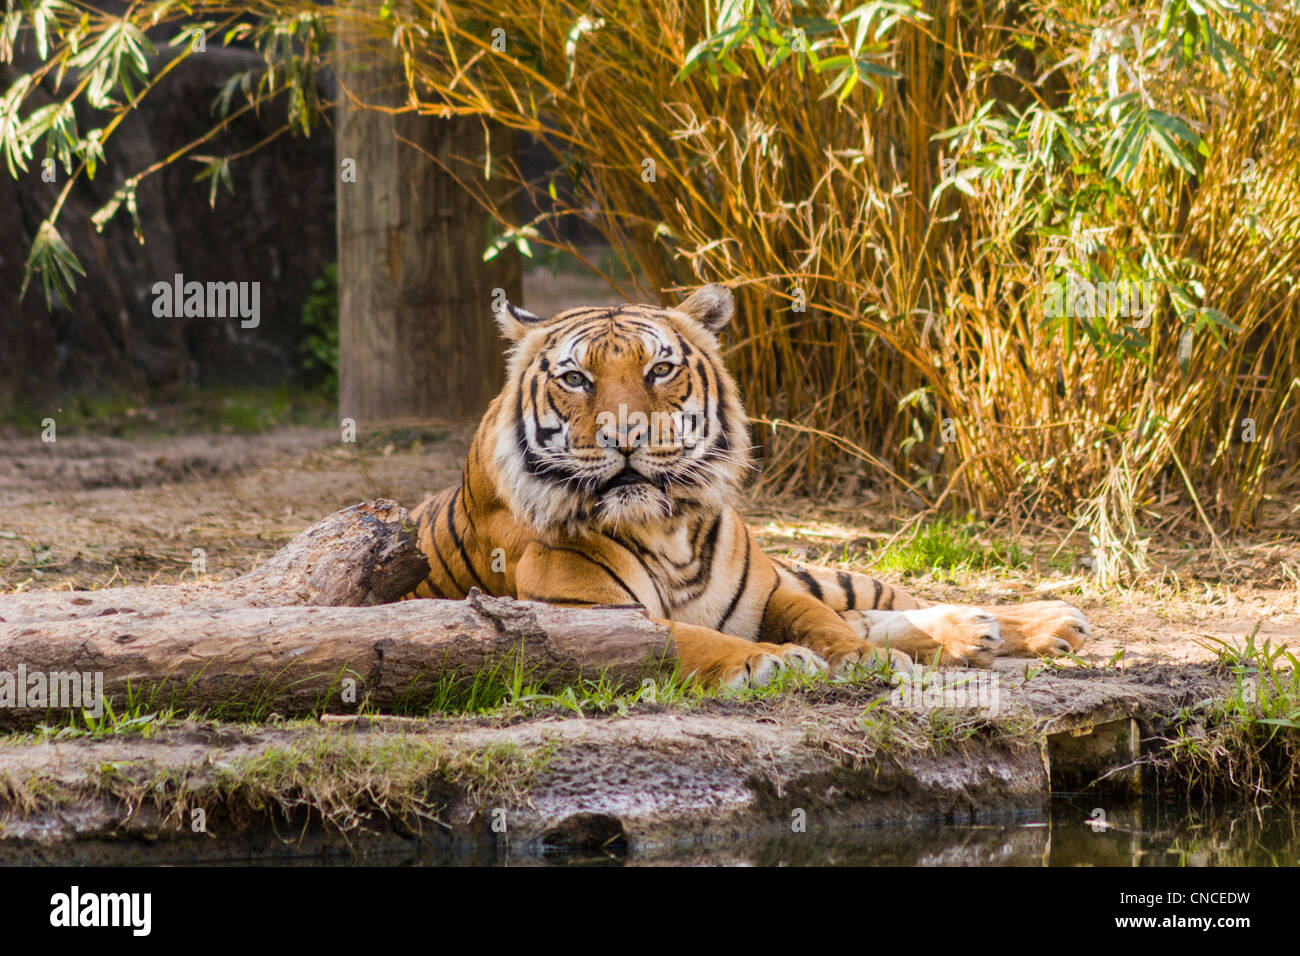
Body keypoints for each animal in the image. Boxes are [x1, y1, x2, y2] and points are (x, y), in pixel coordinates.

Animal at [407, 284, 1090, 688]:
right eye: (575, 379)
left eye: (660, 369)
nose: (624, 433)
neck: (667, 528)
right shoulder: (581, 617)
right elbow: (685, 637)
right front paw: (770, 660)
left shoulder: (767, 592)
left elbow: (823, 620)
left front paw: (859, 658)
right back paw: (980, 632)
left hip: (814, 569)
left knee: (876, 599)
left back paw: (1033, 623)